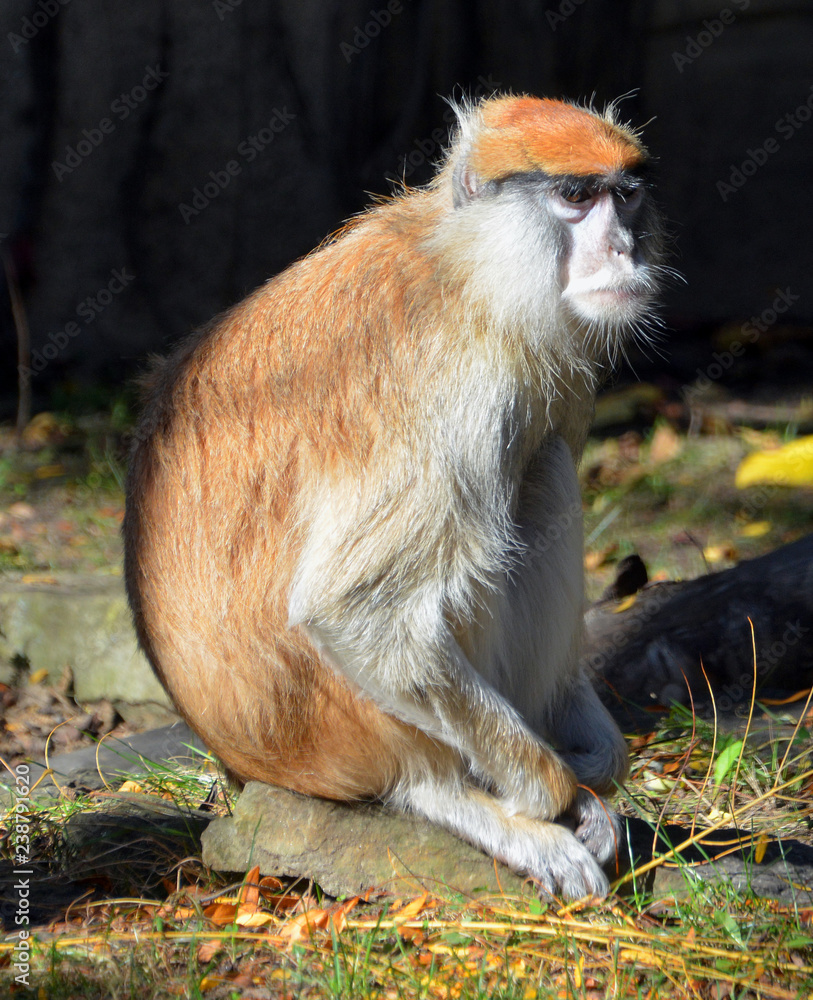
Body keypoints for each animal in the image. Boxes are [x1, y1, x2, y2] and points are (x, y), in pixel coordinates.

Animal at [124, 94, 664, 900]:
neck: (467, 261)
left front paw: (596, 756)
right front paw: (554, 792)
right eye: (574, 196)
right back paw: (454, 797)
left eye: (624, 195)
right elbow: (351, 610)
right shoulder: (460, 377)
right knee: (536, 477)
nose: (624, 251)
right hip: (345, 732)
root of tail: (245, 763)